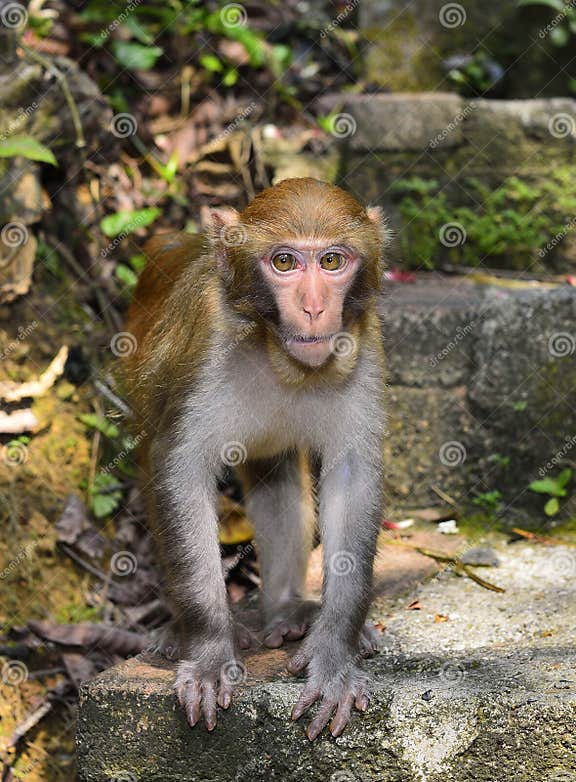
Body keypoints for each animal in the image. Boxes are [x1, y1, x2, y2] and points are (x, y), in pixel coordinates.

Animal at [124, 177, 387, 740]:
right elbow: (180, 469)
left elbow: (353, 477)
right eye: (284, 262)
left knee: (276, 478)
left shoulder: (365, 340)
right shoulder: (206, 339)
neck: (273, 348)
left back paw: (287, 612)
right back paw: (179, 631)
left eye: (332, 260)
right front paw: (208, 652)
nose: (313, 308)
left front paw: (335, 651)